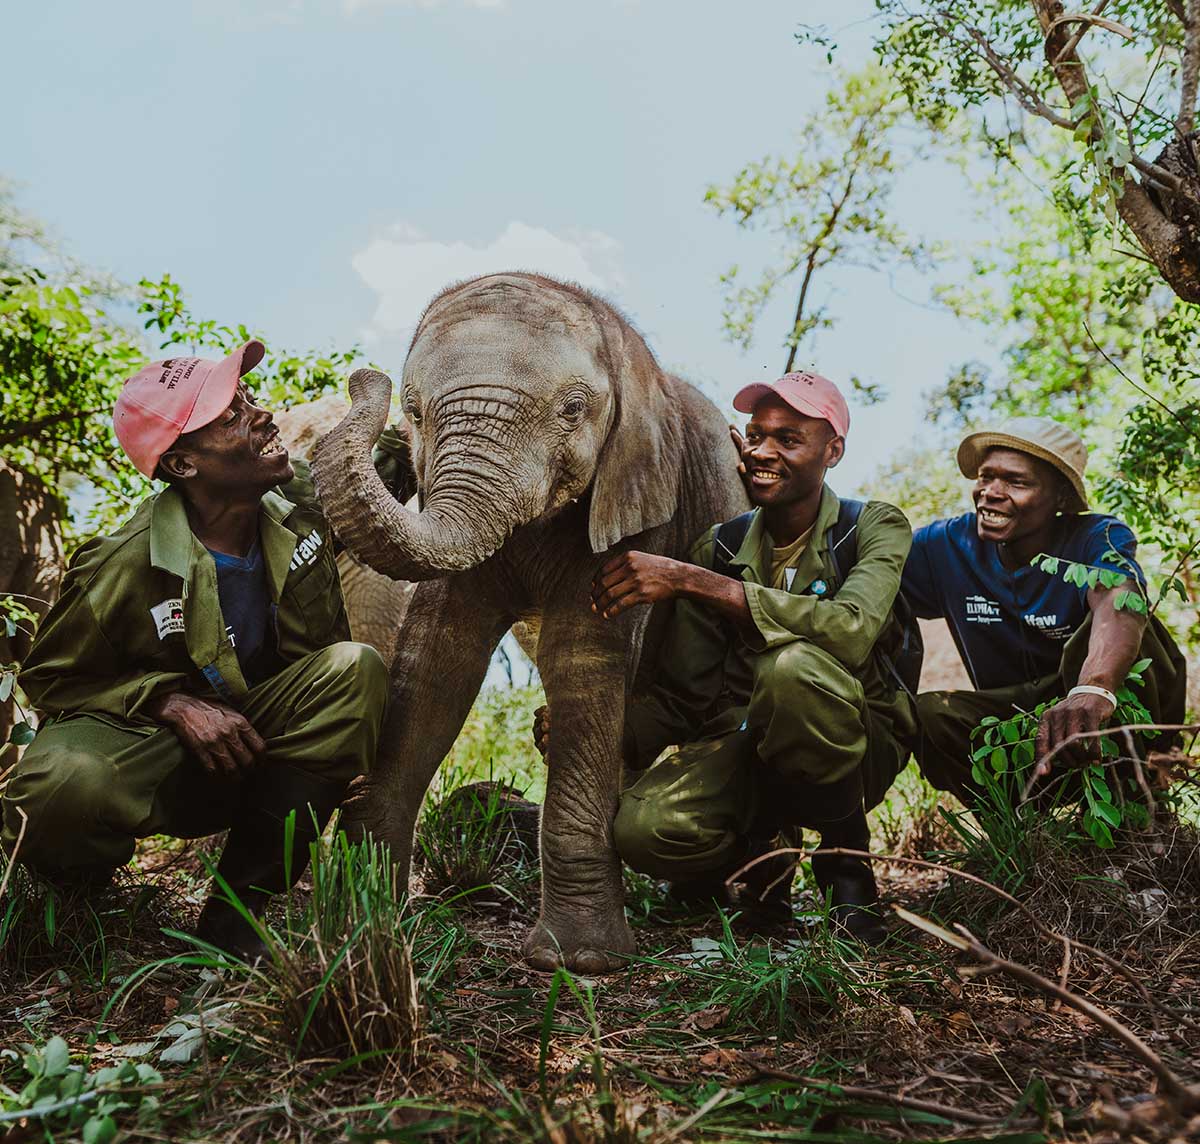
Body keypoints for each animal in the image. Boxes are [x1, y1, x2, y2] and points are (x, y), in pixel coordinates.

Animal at [312, 272, 747, 972]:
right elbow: (435, 663)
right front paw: (359, 918)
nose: (363, 379)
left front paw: (579, 963)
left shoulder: (637, 496)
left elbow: (583, 660)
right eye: (415, 411)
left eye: (573, 409)